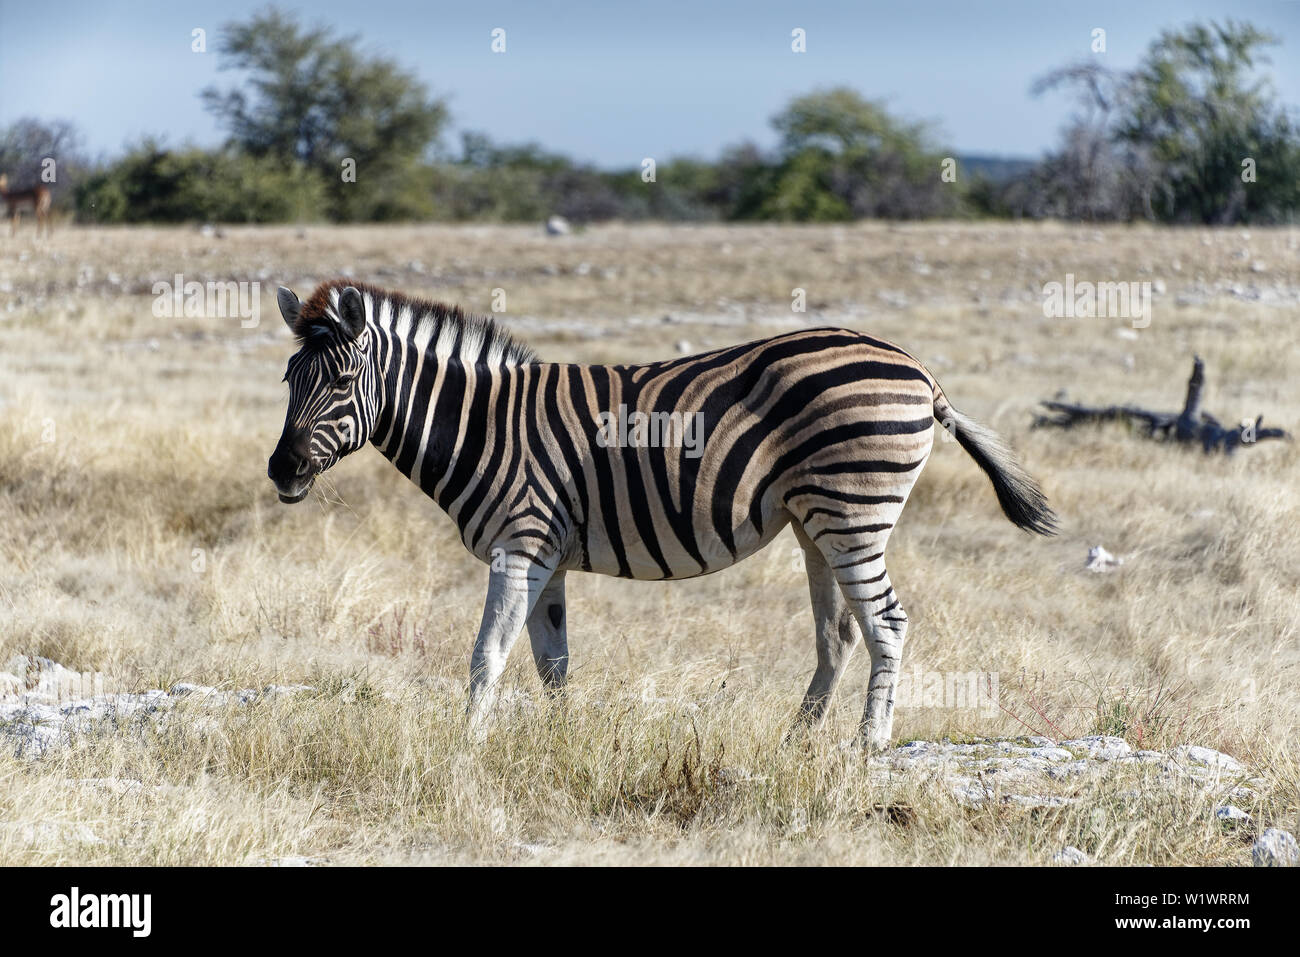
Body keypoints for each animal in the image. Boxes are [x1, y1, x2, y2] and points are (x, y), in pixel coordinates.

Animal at [267, 280, 1056, 751]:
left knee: (886, 622)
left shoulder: (519, 542)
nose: (280, 471)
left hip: (854, 511)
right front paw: (563, 746)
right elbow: (551, 662)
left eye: (342, 380)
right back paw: (797, 744)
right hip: (817, 521)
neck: (483, 424)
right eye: (287, 379)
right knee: (839, 632)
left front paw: (466, 748)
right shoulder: (546, 554)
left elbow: (486, 655)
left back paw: (868, 747)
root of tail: (920, 371)